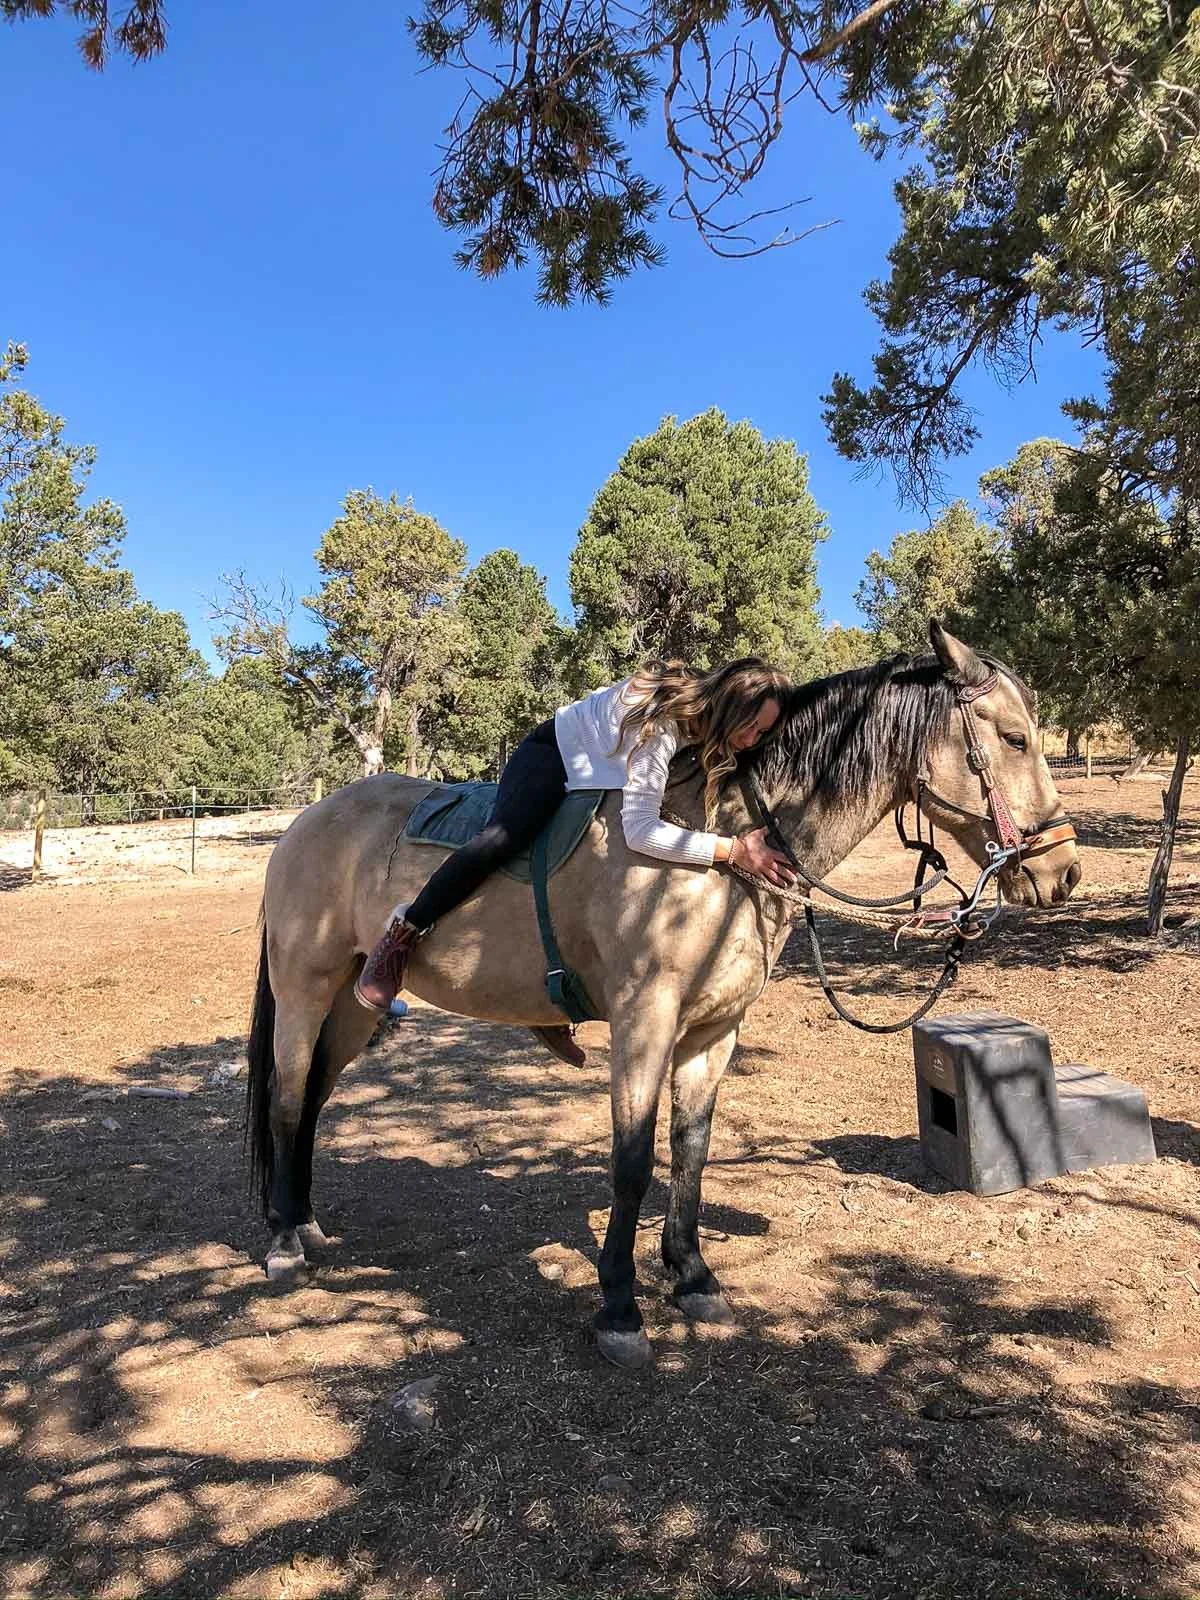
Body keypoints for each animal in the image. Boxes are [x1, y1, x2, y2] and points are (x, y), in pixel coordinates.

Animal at [245, 623, 1080, 1368]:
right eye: (1013, 738)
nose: (1063, 869)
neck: (712, 845)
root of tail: (305, 824)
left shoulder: (713, 1031)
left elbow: (691, 1148)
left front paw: (692, 1275)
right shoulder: (643, 1020)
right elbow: (633, 1161)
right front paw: (619, 1307)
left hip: (354, 1005)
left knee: (313, 1099)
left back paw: (307, 1222)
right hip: (304, 991)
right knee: (286, 1098)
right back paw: (282, 1241)